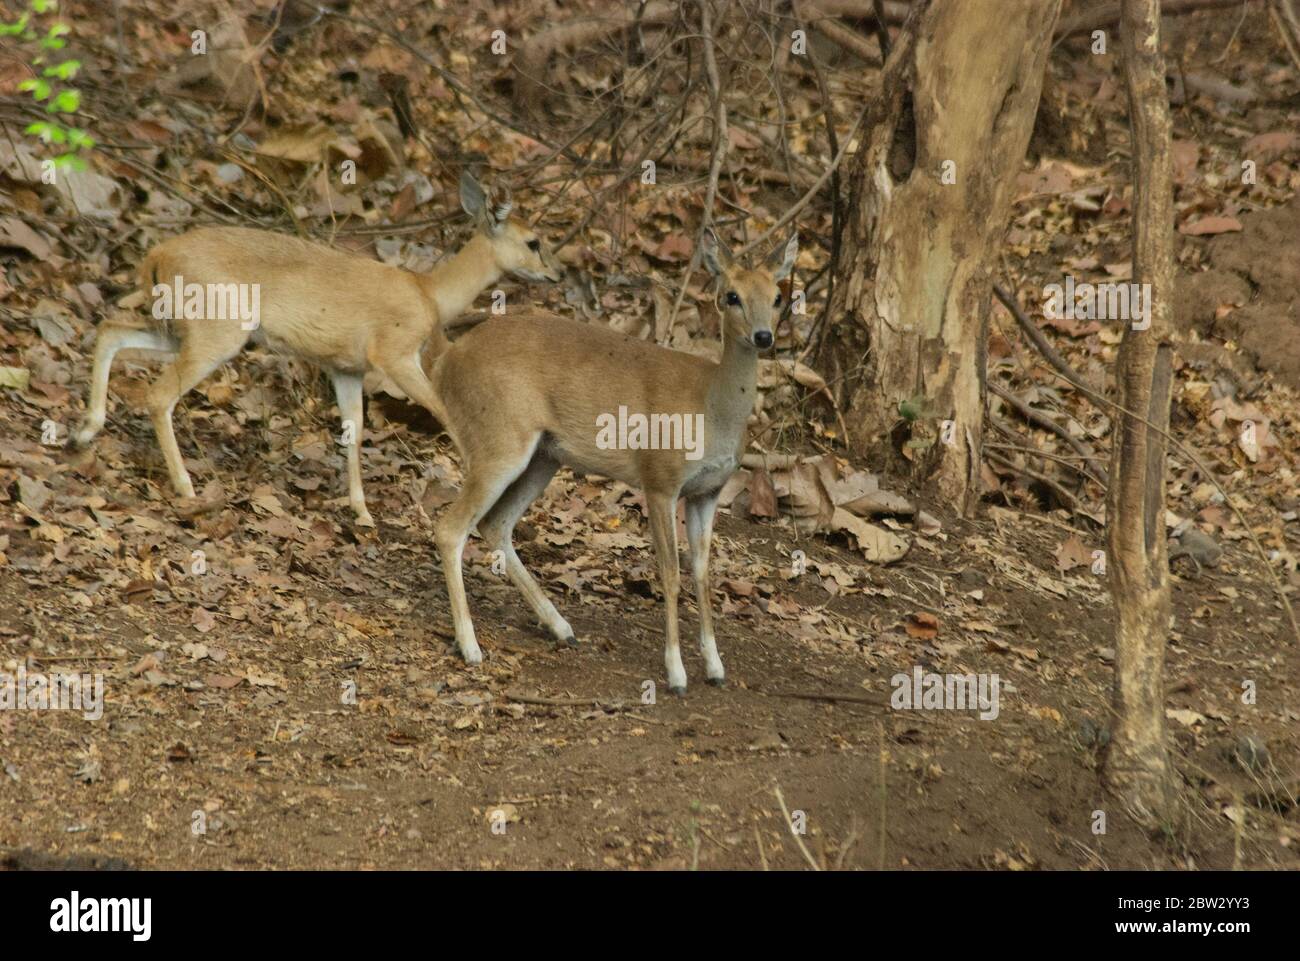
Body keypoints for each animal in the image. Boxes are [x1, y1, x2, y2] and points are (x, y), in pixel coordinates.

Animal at [72, 172, 563, 527]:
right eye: (534, 240)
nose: (556, 275)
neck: (430, 294)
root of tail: (155, 256)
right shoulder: (394, 353)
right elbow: (444, 413)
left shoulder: (346, 368)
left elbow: (355, 430)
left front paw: (362, 513)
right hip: (218, 330)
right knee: (158, 394)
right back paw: (185, 486)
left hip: (179, 326)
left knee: (111, 330)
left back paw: (85, 430)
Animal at [424, 228, 797, 694]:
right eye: (731, 296)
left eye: (779, 296)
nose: (764, 336)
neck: (710, 408)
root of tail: (445, 361)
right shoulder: (659, 479)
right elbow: (670, 573)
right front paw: (676, 673)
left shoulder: (707, 491)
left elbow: (702, 572)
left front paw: (715, 668)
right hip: (499, 440)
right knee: (450, 527)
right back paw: (471, 646)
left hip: (544, 456)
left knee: (495, 525)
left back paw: (560, 627)